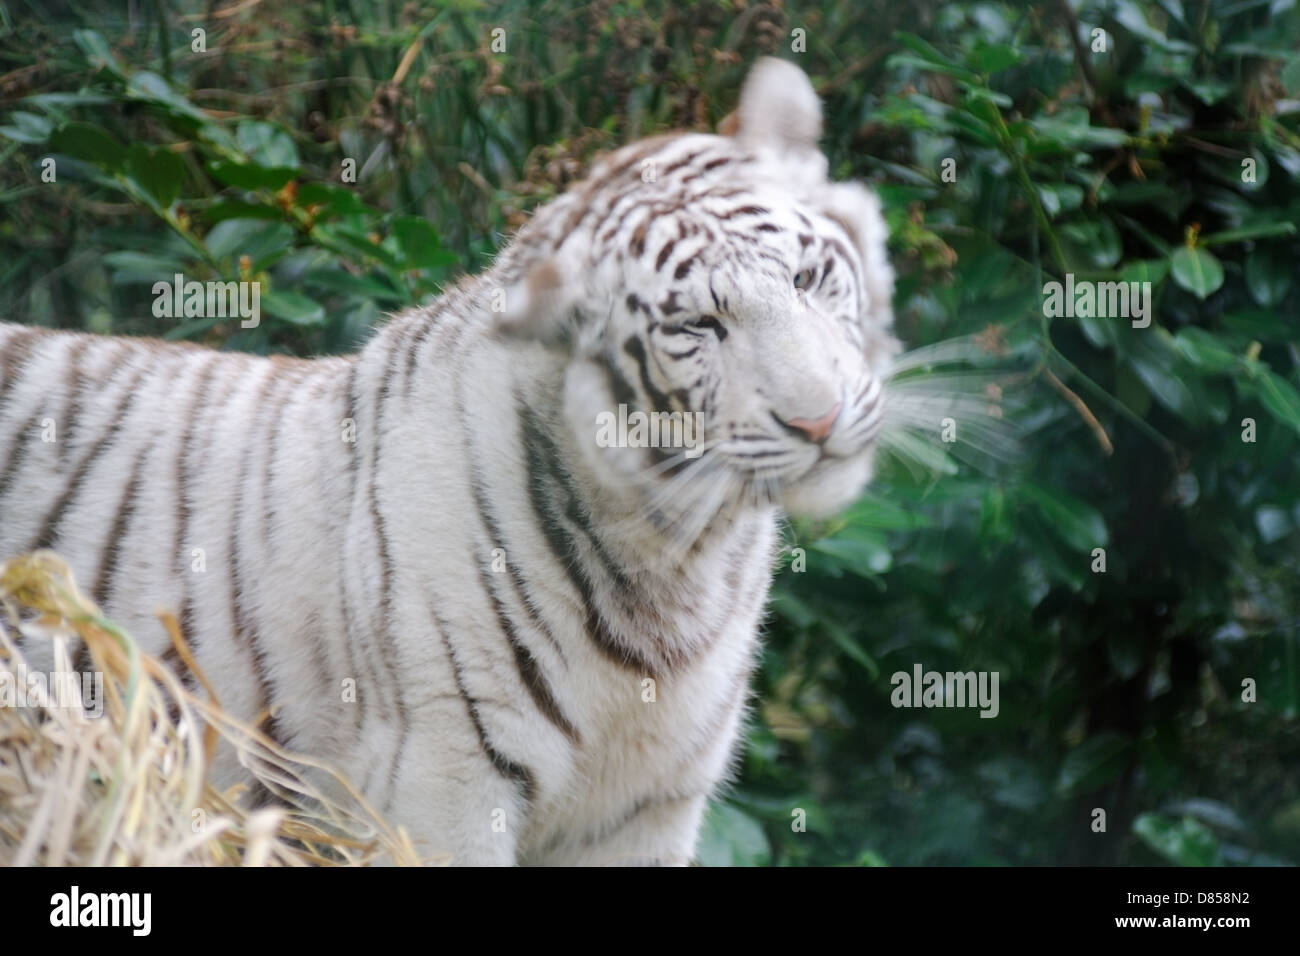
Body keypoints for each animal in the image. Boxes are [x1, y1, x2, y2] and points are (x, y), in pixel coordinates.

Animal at [0, 57, 896, 865]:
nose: (819, 417)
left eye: (808, 280)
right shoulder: (441, 773)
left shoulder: (646, 808)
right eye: (699, 326)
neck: (676, 559)